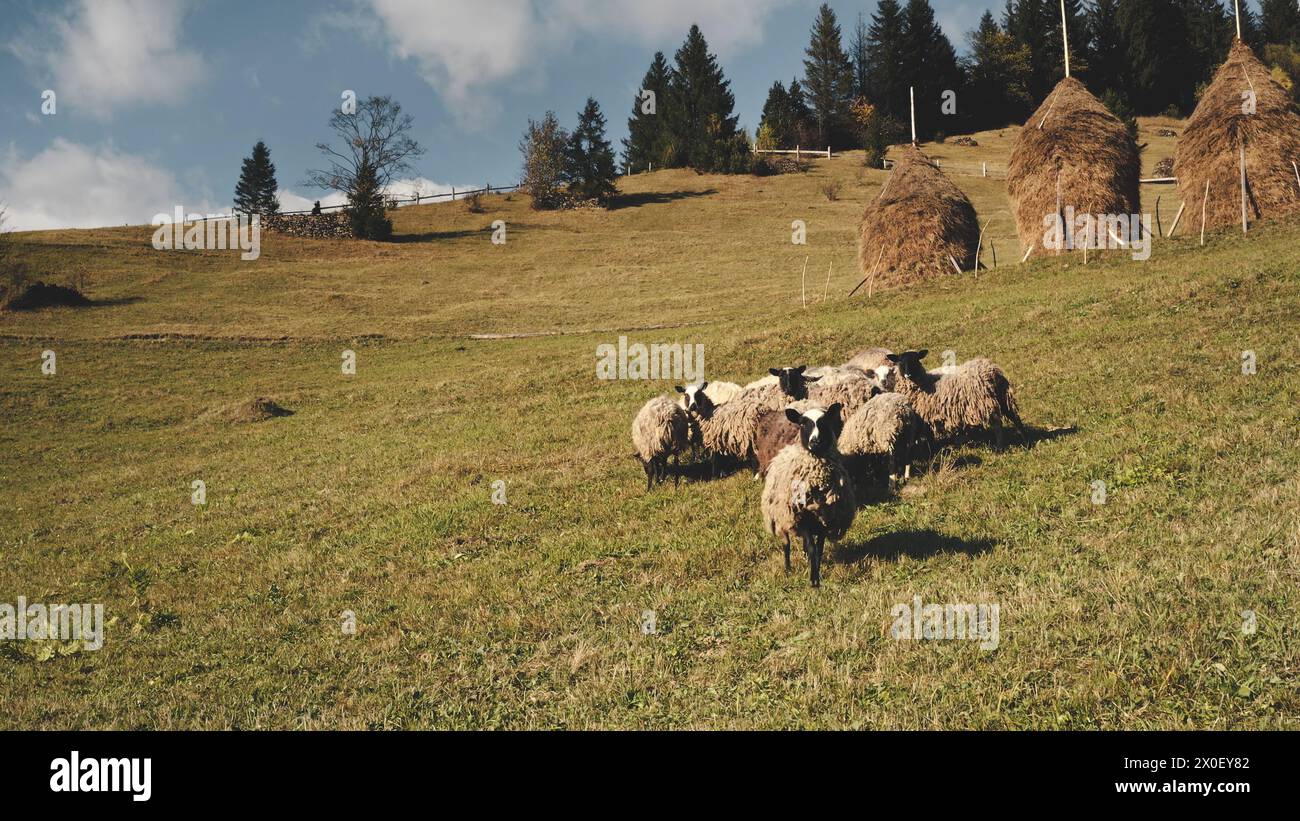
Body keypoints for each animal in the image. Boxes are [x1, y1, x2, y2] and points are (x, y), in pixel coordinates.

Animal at [761, 404, 857, 587]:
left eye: (824, 422)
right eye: (803, 423)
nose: (815, 441)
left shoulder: (825, 519)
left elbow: (819, 549)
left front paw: (816, 571)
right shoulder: (801, 517)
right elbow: (812, 548)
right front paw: (814, 580)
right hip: (782, 516)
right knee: (786, 544)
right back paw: (788, 568)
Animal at [886, 349, 1025, 449]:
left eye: (916, 360)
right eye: (900, 361)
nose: (908, 374)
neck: (923, 384)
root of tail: (993, 370)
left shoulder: (927, 416)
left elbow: (930, 436)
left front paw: (933, 449)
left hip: (986, 401)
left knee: (997, 424)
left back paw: (1000, 448)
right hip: (1003, 397)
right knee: (1015, 417)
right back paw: (1024, 438)